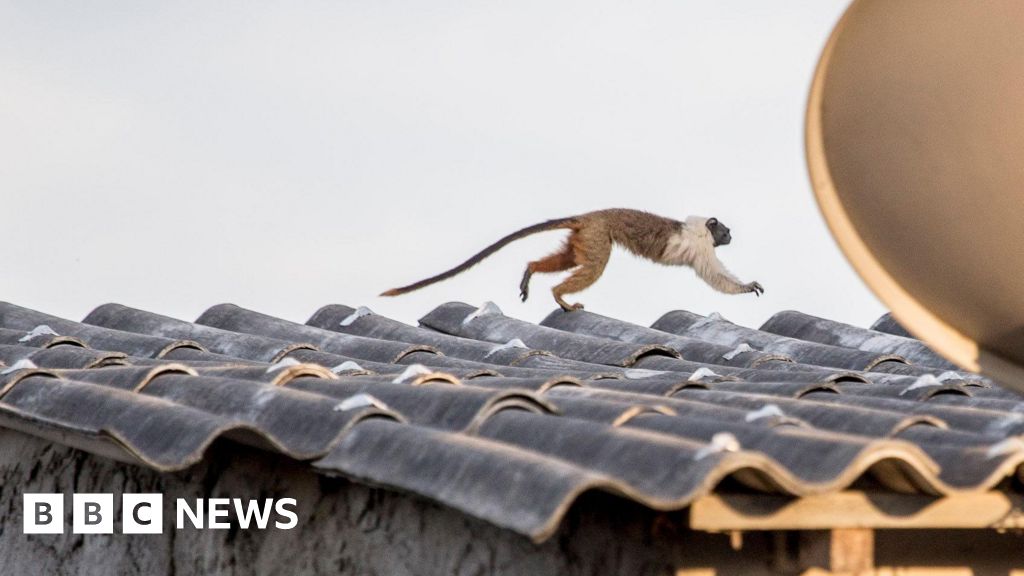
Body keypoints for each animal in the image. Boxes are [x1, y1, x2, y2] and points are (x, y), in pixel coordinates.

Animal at [381, 208, 764, 311]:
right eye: (726, 231)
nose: (730, 236)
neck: (701, 229)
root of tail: (589, 216)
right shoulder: (702, 248)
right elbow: (716, 276)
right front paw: (746, 287)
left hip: (584, 237)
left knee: (570, 258)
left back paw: (532, 272)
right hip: (598, 235)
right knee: (596, 264)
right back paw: (560, 297)